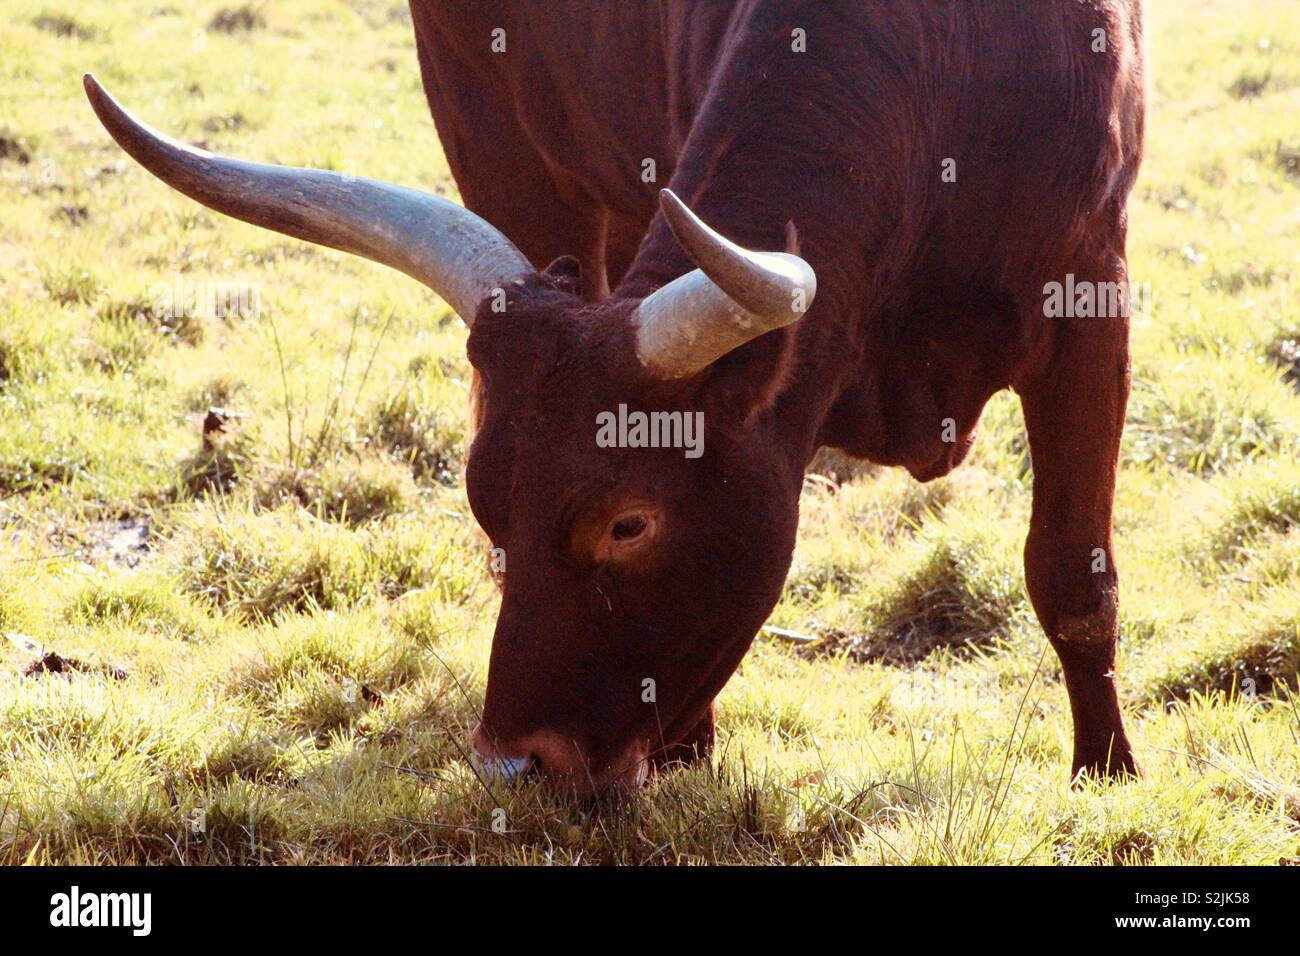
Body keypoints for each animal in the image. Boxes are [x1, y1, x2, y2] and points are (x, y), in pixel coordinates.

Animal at [84, 0, 1146, 797]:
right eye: (487, 507)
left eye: (628, 522)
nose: (518, 766)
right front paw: (688, 750)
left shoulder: (1091, 303)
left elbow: (1072, 574)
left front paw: (1106, 773)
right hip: (498, 141)